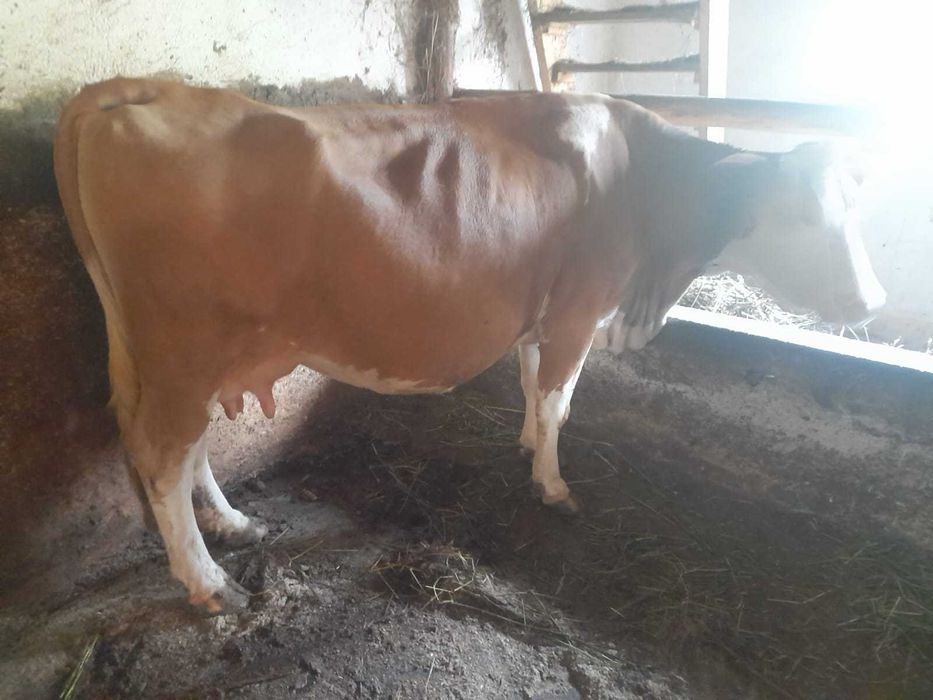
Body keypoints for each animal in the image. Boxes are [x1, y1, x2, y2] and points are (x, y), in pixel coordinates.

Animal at [54, 78, 884, 612]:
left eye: (855, 205)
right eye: (806, 215)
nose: (873, 301)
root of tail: (143, 87)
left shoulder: (540, 314)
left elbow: (532, 388)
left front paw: (524, 448)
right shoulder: (578, 309)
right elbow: (559, 401)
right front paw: (551, 485)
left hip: (177, 355)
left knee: (183, 449)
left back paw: (232, 525)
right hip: (182, 347)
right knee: (162, 454)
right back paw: (207, 583)